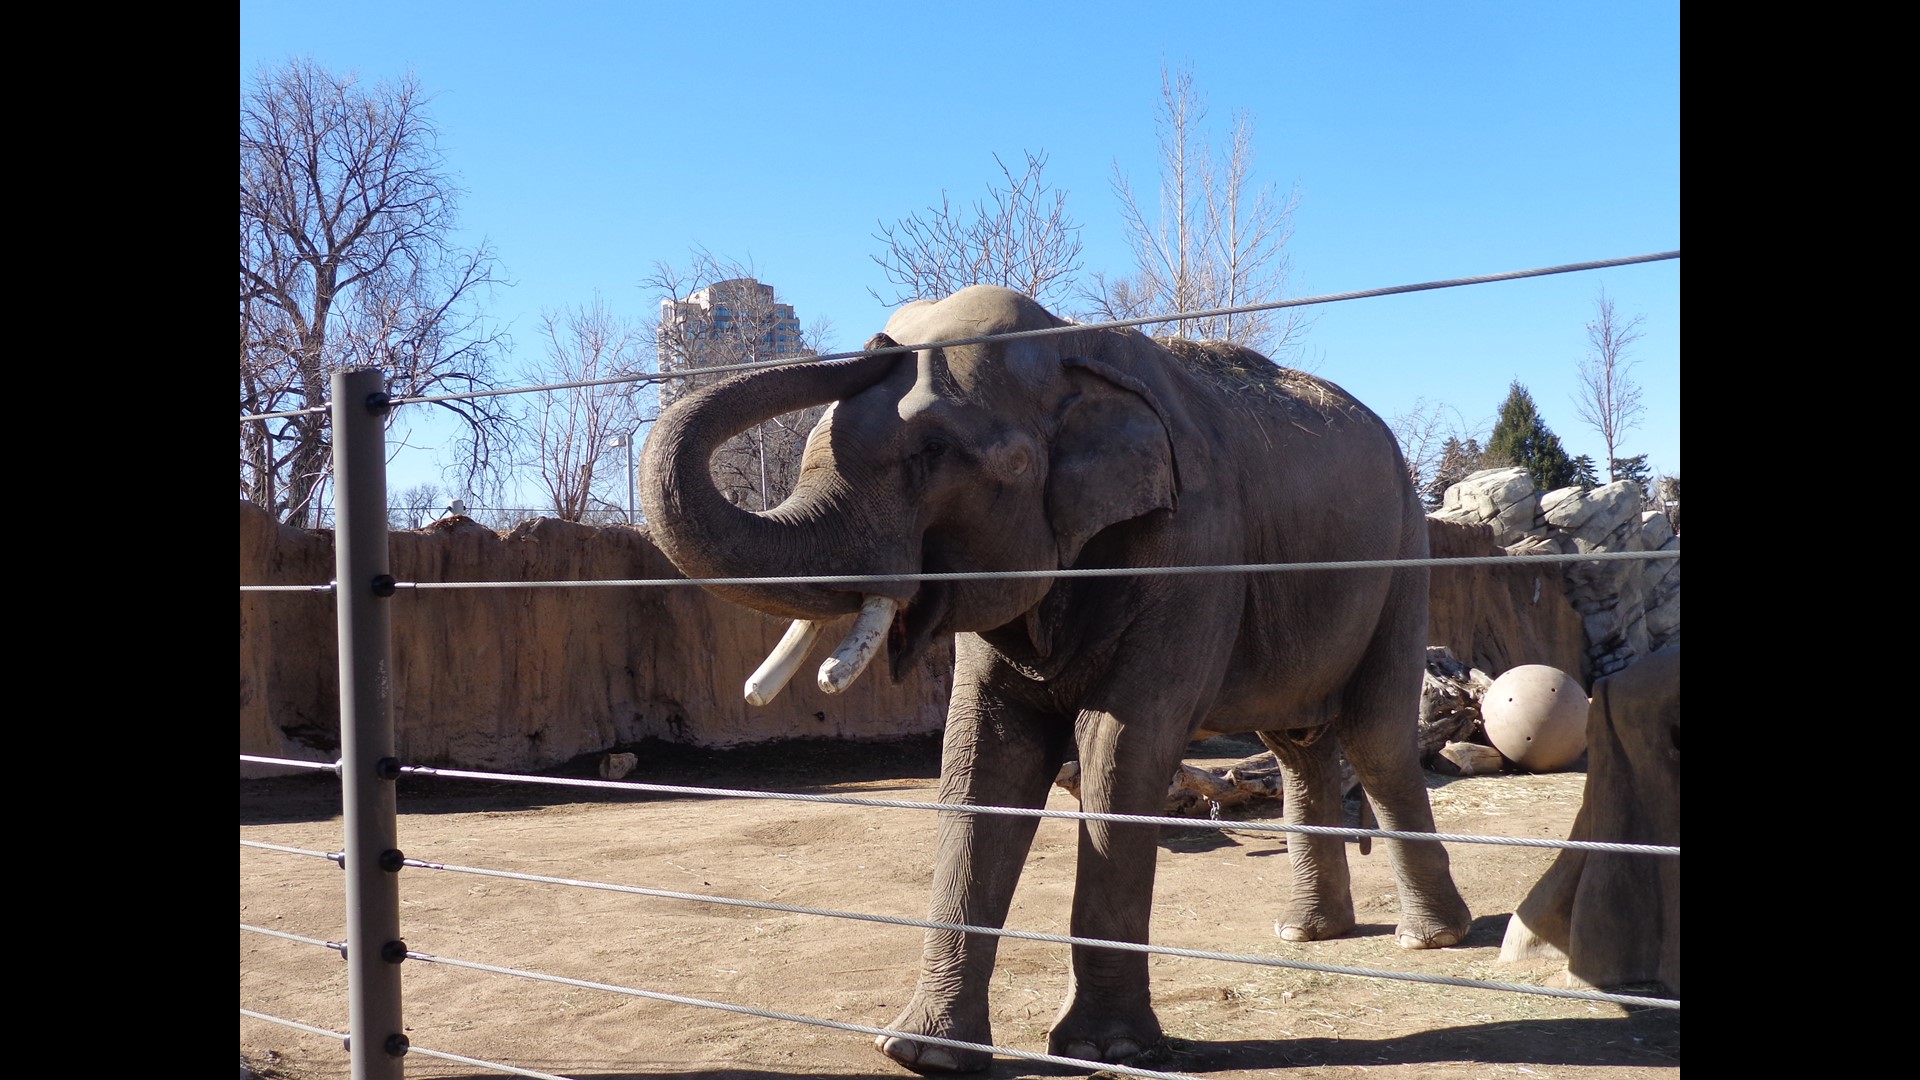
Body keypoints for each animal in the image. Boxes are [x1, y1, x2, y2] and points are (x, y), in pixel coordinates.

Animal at [639, 284, 1471, 1072]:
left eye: (932, 451)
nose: (877, 345)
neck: (1068, 348)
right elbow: (983, 756)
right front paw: (921, 1053)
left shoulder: (1195, 547)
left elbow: (1118, 747)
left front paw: (1109, 1051)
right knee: (1298, 744)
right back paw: (1306, 930)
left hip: (1403, 557)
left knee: (1374, 741)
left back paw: (1427, 939)